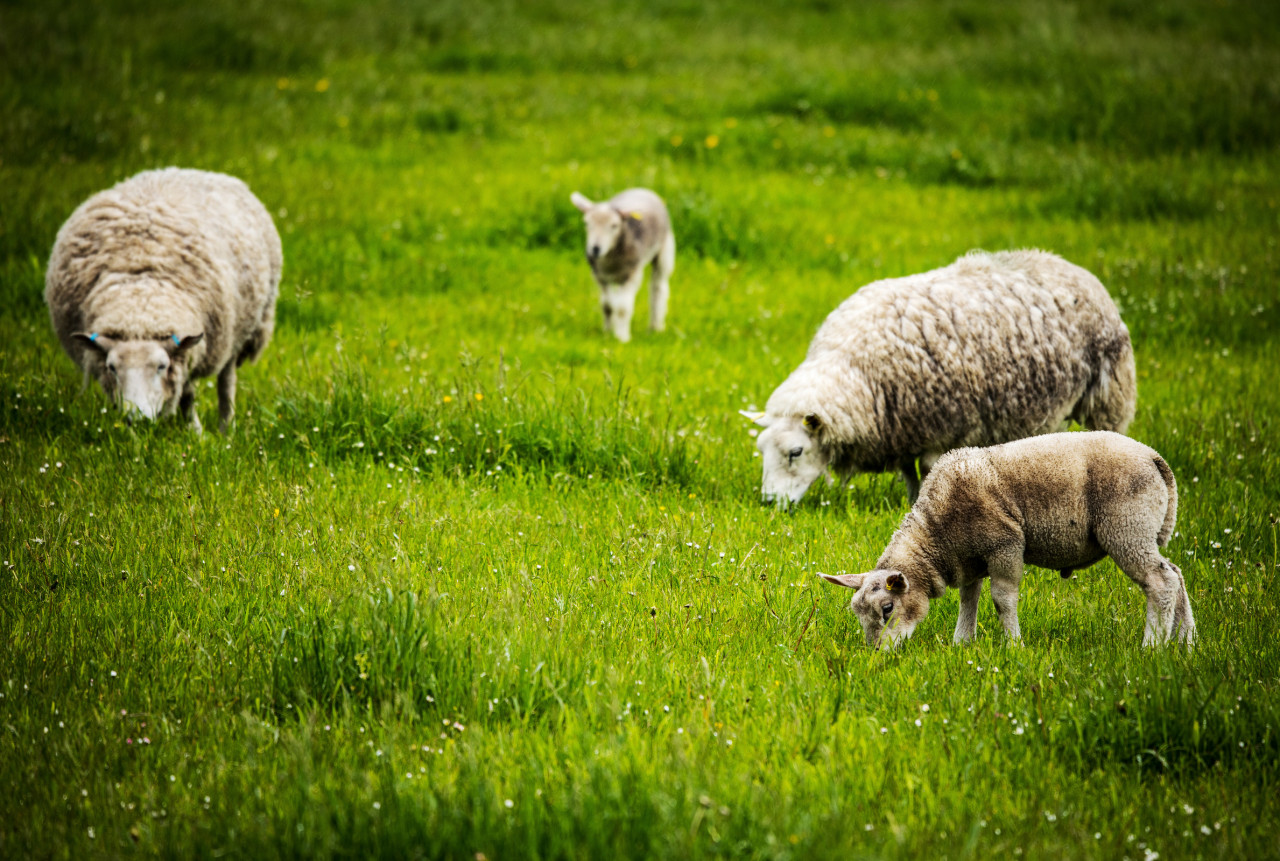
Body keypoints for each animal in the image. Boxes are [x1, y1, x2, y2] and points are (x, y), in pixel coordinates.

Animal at [48, 165, 284, 432]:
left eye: (161, 366)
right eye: (112, 368)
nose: (136, 418)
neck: (140, 299)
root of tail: (190, 170)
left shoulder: (189, 351)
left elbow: (188, 395)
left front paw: (195, 433)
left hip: (236, 333)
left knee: (226, 380)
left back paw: (226, 428)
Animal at [568, 186, 670, 340]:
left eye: (614, 225)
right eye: (586, 223)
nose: (595, 248)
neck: (611, 259)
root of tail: (641, 189)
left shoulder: (632, 274)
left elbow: (622, 308)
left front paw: (622, 337)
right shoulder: (600, 277)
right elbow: (607, 305)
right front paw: (607, 332)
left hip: (664, 251)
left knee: (658, 288)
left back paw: (655, 327)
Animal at [747, 248, 1136, 504]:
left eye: (796, 452)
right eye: (761, 450)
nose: (769, 503)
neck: (857, 372)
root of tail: (1069, 265)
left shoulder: (941, 431)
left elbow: (931, 473)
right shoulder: (904, 434)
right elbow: (910, 478)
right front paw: (910, 505)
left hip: (1108, 396)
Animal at [814, 432, 1192, 647]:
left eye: (887, 608)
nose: (876, 654)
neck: (937, 535)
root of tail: (1153, 457)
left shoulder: (1004, 545)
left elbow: (1001, 600)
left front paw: (1013, 646)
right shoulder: (969, 558)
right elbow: (968, 599)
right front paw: (962, 644)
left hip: (1127, 527)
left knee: (1159, 581)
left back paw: (1151, 646)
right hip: (1141, 532)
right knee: (1175, 575)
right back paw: (1186, 644)